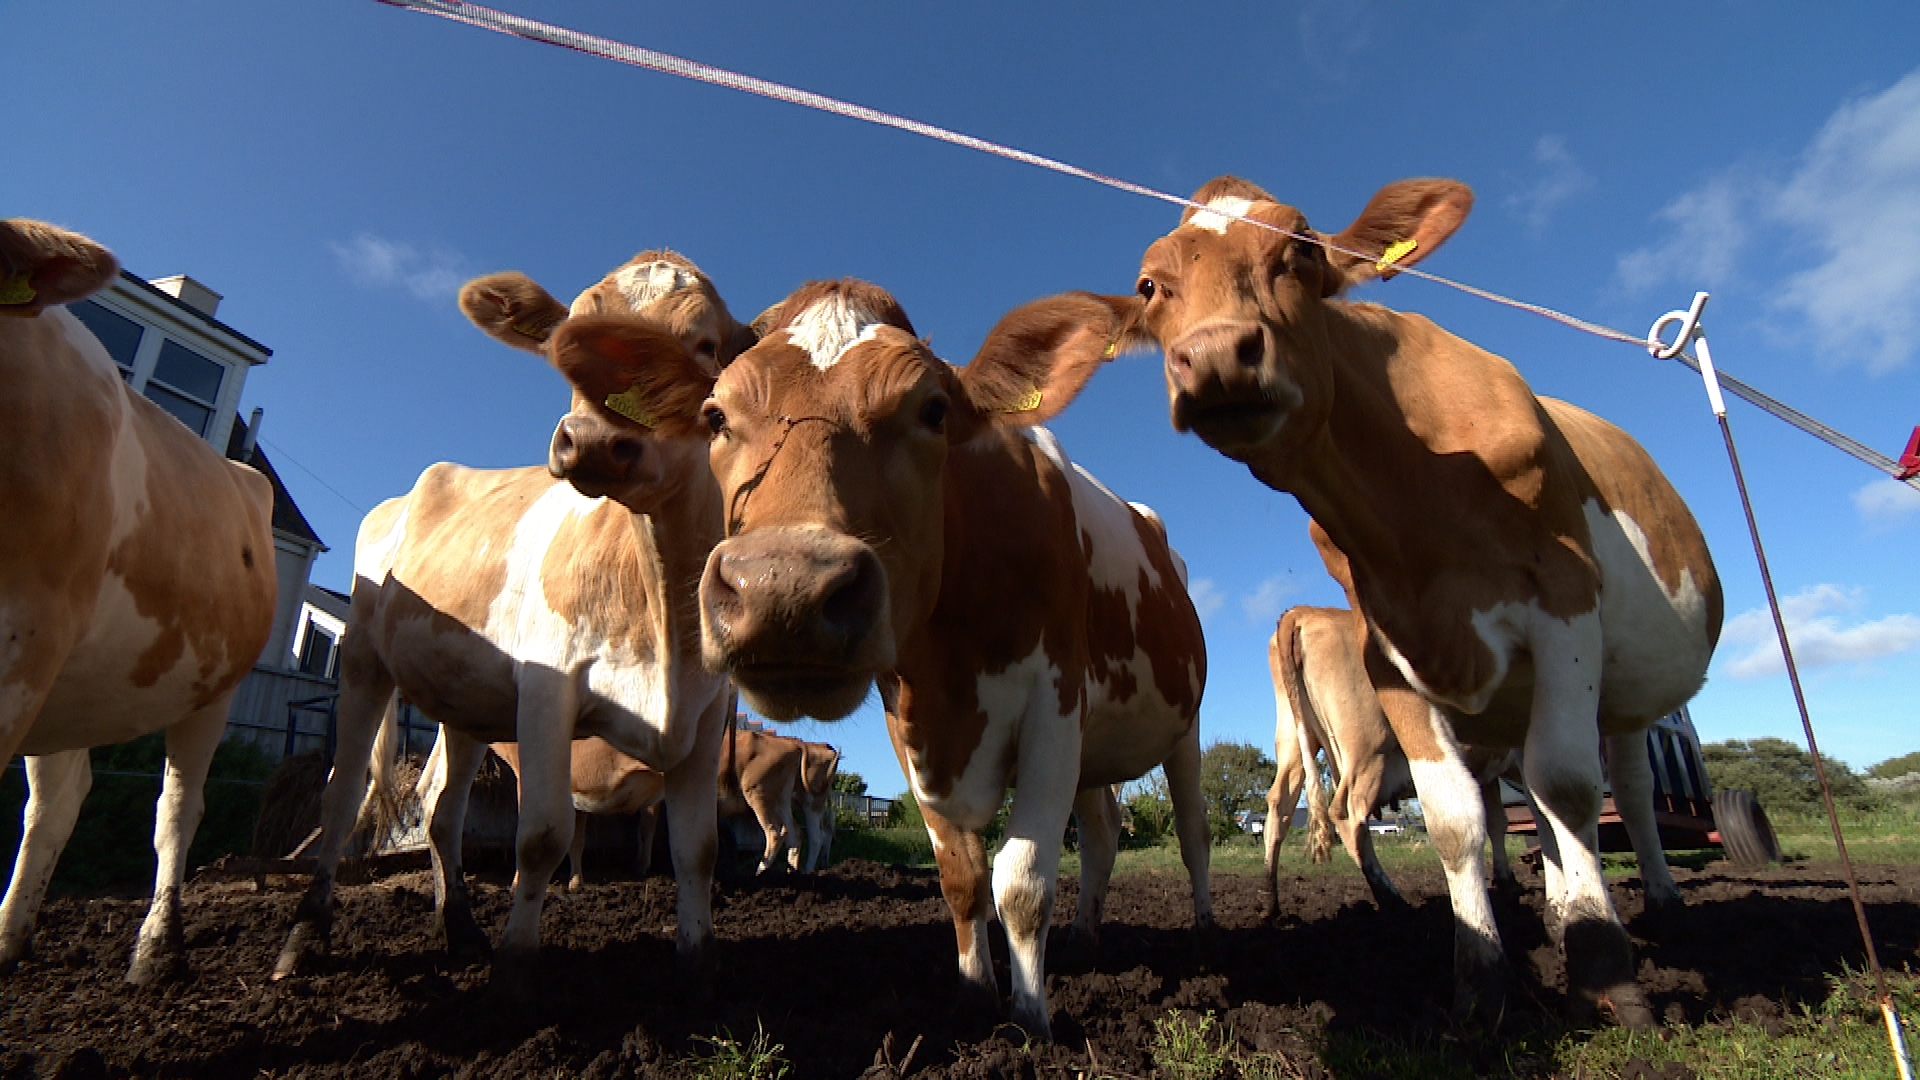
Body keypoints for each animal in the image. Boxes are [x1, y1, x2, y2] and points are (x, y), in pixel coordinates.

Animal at [0, 219, 277, 984]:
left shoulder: (23, 638)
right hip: (77, 680)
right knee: (57, 801)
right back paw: (11, 938)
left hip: (208, 688)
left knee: (177, 808)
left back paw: (157, 946)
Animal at [273, 251, 754, 988]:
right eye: (566, 347)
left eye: (701, 346)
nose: (596, 441)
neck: (664, 606)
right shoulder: (549, 690)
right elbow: (543, 835)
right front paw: (516, 968)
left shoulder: (704, 719)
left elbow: (697, 848)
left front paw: (699, 961)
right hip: (361, 659)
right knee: (343, 790)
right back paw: (305, 932)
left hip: (466, 699)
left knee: (440, 806)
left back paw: (459, 927)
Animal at [554, 277, 1213, 1039]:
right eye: (715, 416)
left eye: (933, 410)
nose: (783, 589)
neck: (951, 665)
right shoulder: (910, 720)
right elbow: (961, 879)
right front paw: (974, 995)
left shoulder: (1053, 706)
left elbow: (1020, 883)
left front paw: (1032, 1024)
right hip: (1096, 746)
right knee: (1104, 831)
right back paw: (1083, 938)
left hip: (1183, 727)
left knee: (1193, 832)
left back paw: (1204, 931)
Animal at [1101, 176, 1722, 1027]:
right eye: (1149, 286)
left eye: (1301, 249)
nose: (1217, 356)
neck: (1413, 485)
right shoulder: (1391, 655)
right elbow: (1462, 817)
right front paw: (1489, 977)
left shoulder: (1564, 608)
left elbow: (1560, 788)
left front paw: (1600, 966)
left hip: (1601, 689)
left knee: (1607, 786)